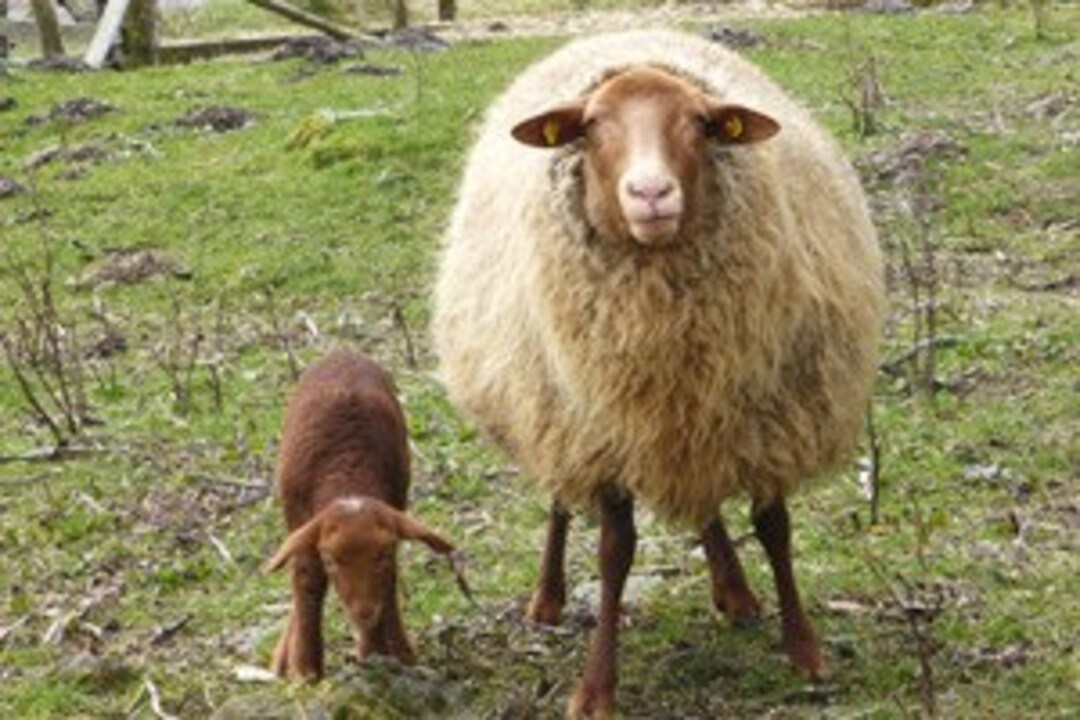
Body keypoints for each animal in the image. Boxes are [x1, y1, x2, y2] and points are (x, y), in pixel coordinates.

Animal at [263, 349, 456, 681]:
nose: (364, 612)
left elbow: (389, 583)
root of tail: (343, 351)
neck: (348, 473)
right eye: (331, 559)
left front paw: (382, 652)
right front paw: (306, 668)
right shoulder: (298, 514)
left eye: (382, 555)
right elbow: (307, 579)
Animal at [432, 29, 885, 718]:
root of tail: (618, 27)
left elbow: (774, 530)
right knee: (561, 498)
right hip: (553, 409)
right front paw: (596, 687)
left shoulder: (767, 416)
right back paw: (548, 599)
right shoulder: (604, 433)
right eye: (591, 126)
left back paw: (735, 591)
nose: (651, 194)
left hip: (691, 420)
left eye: (699, 123)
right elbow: (615, 553)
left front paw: (804, 649)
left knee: (704, 496)